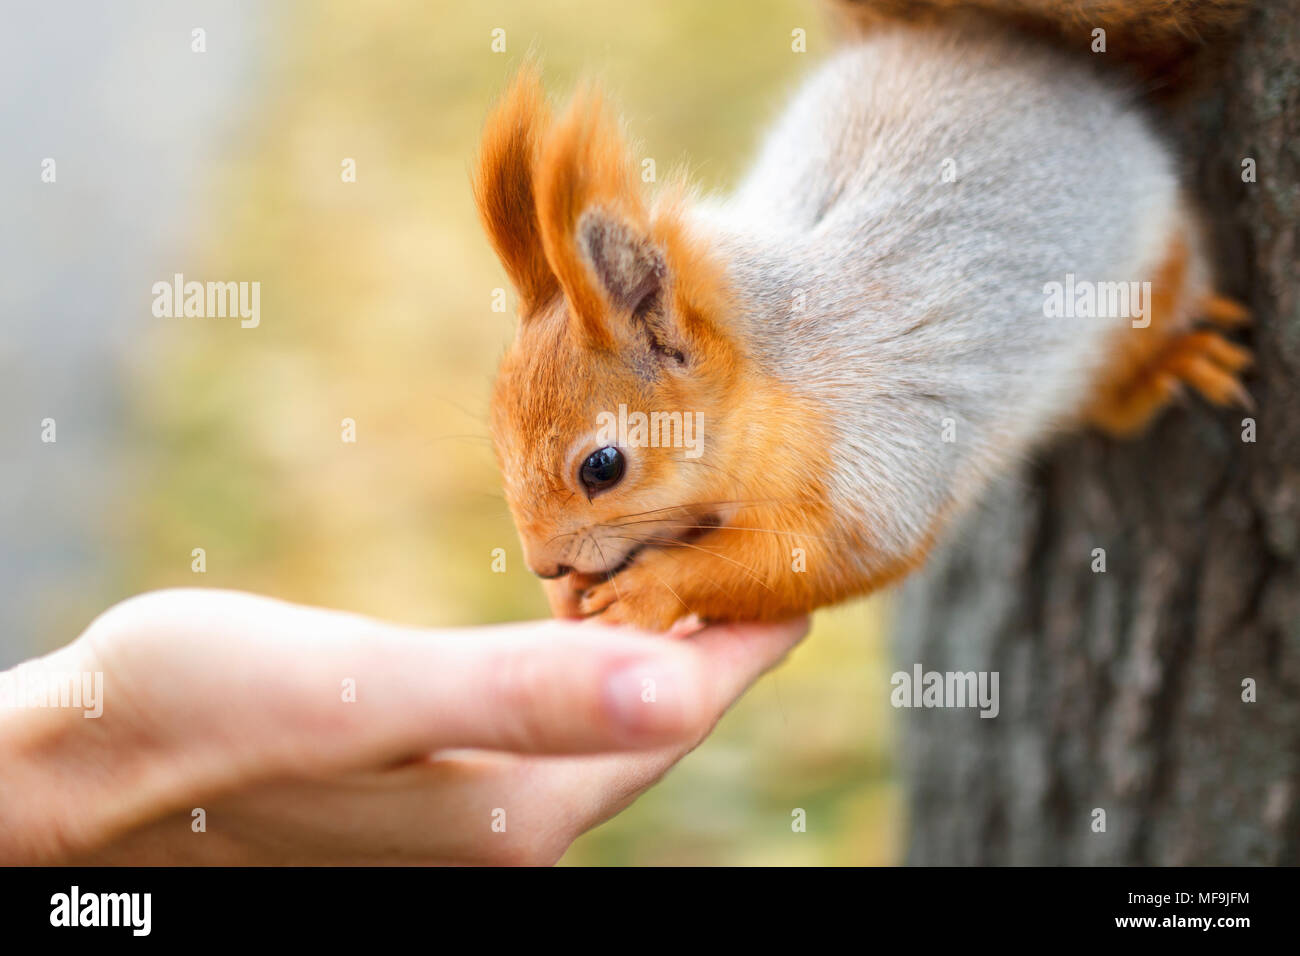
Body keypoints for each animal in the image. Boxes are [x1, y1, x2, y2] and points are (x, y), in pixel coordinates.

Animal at [474, 1, 1253, 631]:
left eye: (602, 468)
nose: (544, 565)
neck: (776, 375)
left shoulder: (880, 453)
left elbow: (823, 560)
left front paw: (648, 591)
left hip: (1150, 286)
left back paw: (1172, 364)